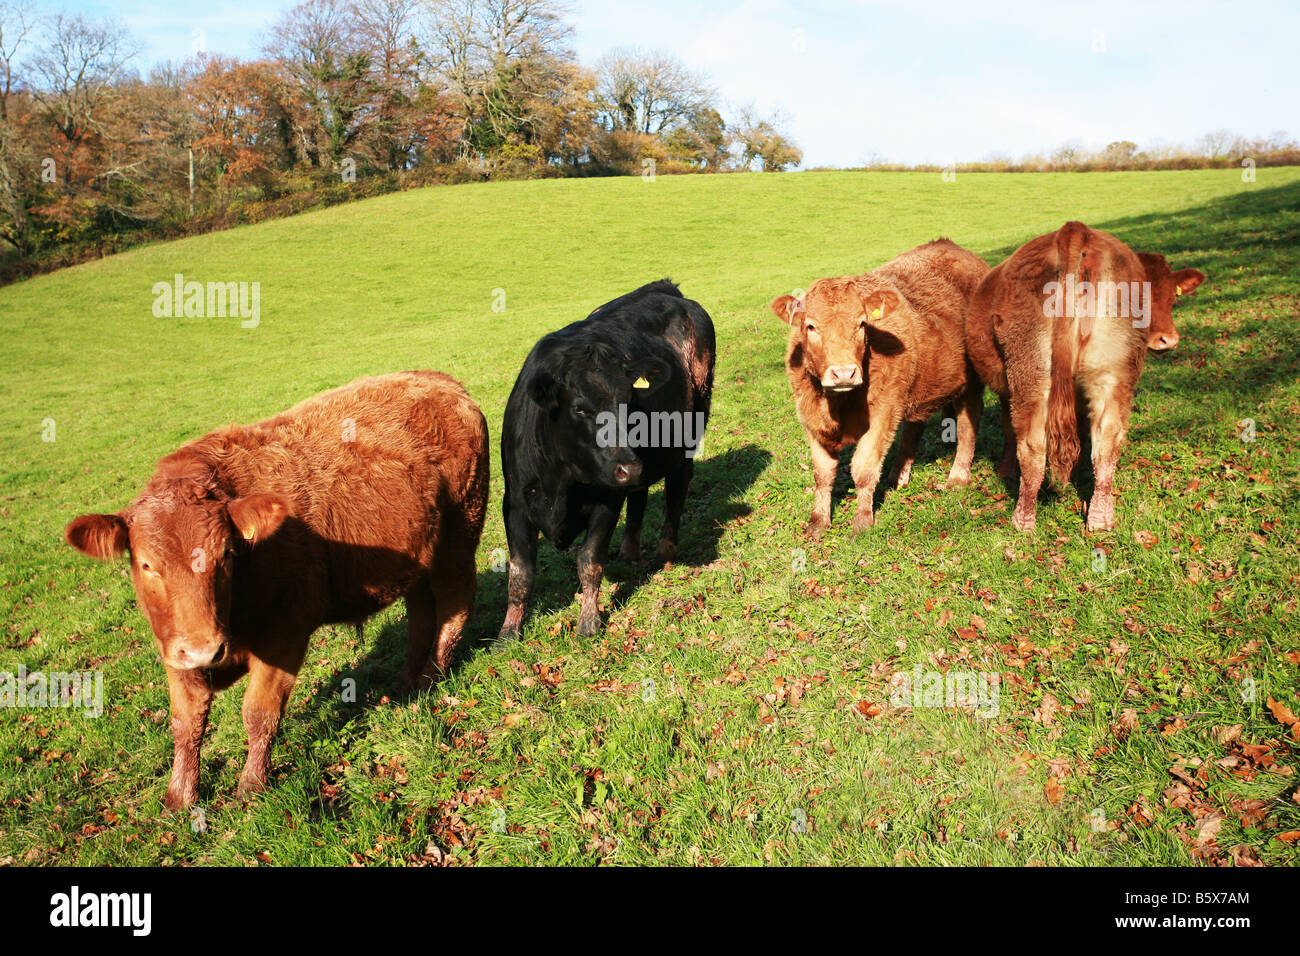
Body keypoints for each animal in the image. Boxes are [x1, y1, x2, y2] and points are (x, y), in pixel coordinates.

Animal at [64, 371, 488, 808]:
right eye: (148, 564)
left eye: (226, 552)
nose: (204, 650)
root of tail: (441, 382)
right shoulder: (175, 650)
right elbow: (186, 724)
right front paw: (179, 796)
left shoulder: (285, 633)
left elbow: (259, 713)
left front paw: (252, 786)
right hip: (418, 555)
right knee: (421, 612)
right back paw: (406, 683)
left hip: (459, 532)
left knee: (454, 603)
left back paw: (431, 676)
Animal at [498, 279, 715, 641]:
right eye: (580, 408)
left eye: (628, 402)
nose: (628, 467)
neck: (560, 482)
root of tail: (668, 291)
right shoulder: (514, 501)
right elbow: (520, 574)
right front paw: (508, 632)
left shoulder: (606, 499)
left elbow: (589, 561)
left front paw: (588, 622)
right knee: (640, 494)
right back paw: (629, 551)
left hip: (691, 425)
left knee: (677, 485)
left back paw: (664, 552)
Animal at [769, 239, 990, 534]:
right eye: (811, 326)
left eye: (862, 323)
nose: (843, 373)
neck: (839, 405)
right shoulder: (810, 418)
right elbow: (823, 473)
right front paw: (818, 522)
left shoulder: (883, 412)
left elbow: (863, 468)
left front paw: (863, 521)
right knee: (913, 428)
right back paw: (898, 477)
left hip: (972, 380)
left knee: (968, 425)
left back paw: (957, 477)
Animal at [964, 221, 1206, 531]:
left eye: (1172, 297)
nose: (1168, 340)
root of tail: (1075, 230)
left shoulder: (1008, 389)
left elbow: (1010, 430)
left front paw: (1006, 472)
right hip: (1112, 374)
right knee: (1107, 442)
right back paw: (1100, 518)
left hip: (1033, 377)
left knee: (1033, 446)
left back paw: (1023, 521)